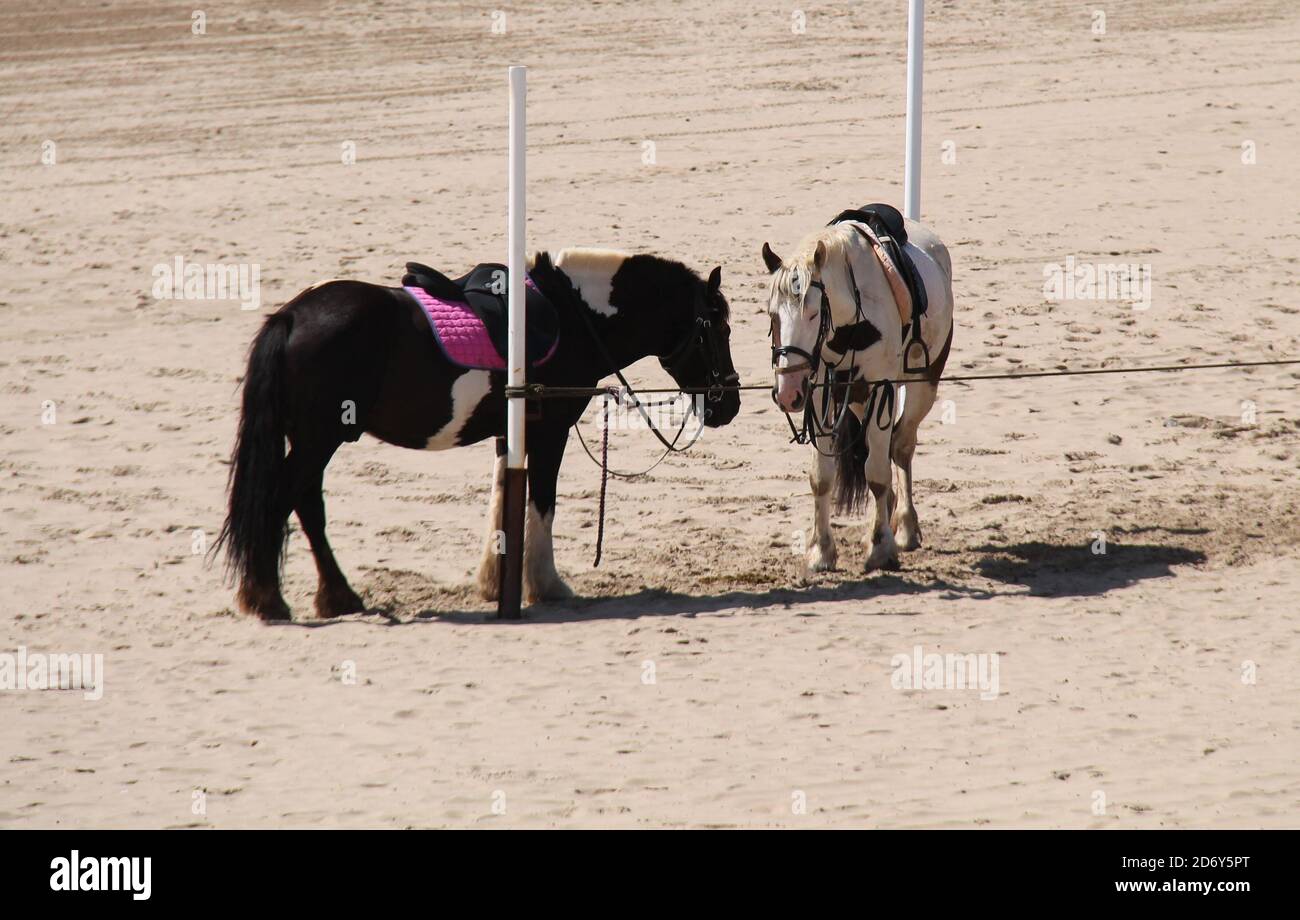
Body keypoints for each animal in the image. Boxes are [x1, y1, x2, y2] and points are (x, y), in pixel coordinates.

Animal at [214, 249, 741, 621]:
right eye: (718, 329)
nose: (728, 404)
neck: (574, 315)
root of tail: (291, 316)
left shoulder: (512, 431)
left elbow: (504, 495)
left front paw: (494, 580)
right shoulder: (549, 434)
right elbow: (540, 502)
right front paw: (545, 584)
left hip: (312, 440)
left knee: (305, 505)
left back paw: (336, 596)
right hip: (318, 439)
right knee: (284, 500)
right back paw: (268, 598)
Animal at [761, 207, 954, 573]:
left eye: (812, 314)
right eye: (772, 315)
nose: (787, 392)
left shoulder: (881, 390)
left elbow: (877, 473)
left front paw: (880, 548)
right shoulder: (819, 393)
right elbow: (822, 476)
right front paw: (821, 550)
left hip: (921, 386)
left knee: (900, 447)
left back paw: (905, 527)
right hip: (856, 399)